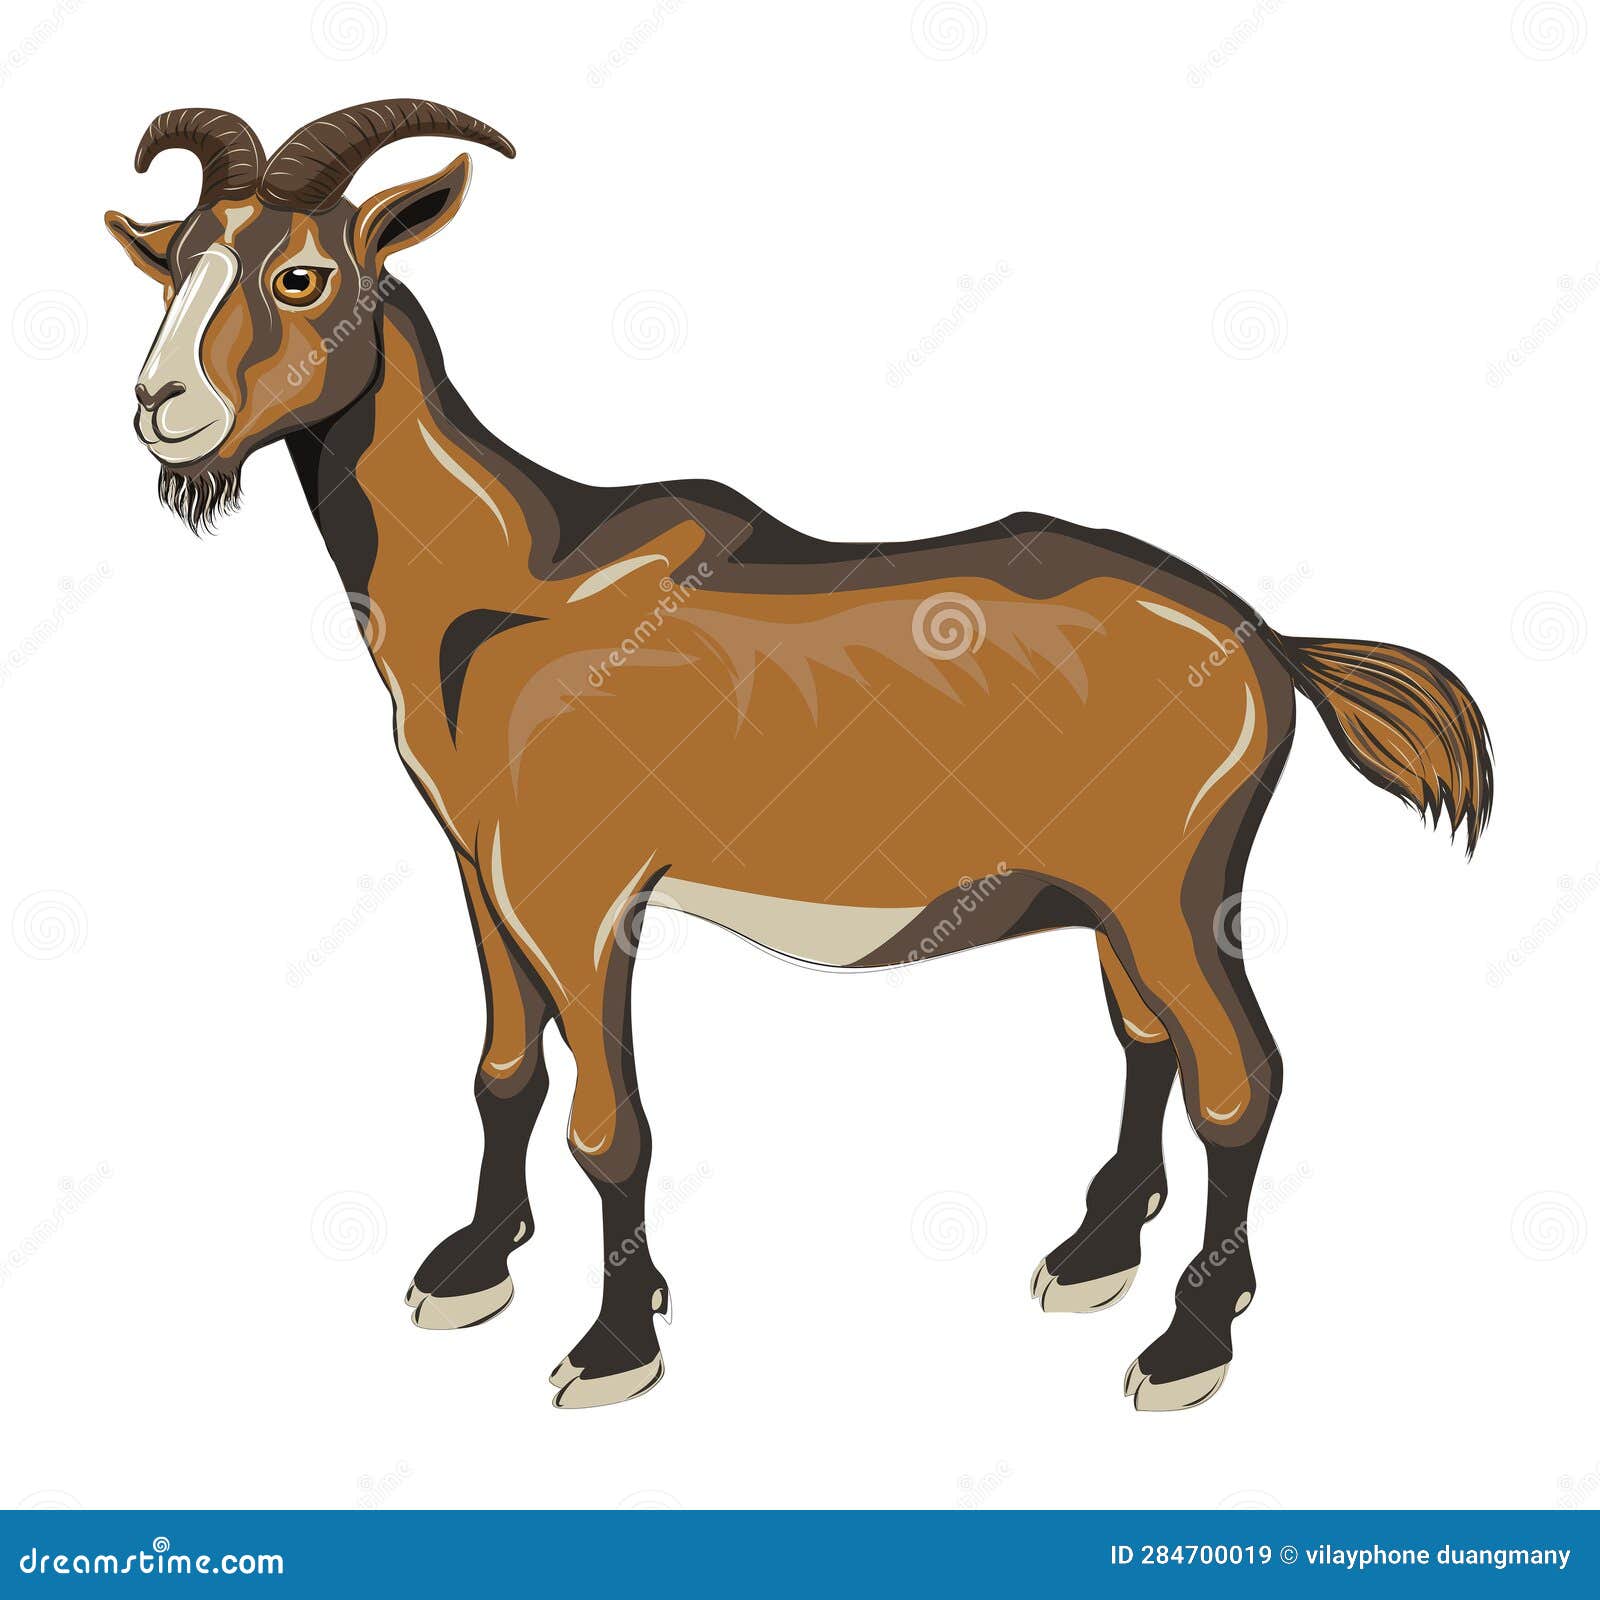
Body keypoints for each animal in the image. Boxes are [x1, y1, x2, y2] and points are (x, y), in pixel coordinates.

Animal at [108, 100, 1492, 1411]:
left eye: (303, 274)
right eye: (172, 262)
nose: (160, 409)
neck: (515, 580)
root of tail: (1268, 639)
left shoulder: (579, 891)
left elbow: (608, 1124)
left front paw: (614, 1344)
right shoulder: (482, 876)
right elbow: (506, 1071)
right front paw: (469, 1268)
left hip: (1176, 888)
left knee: (1236, 1077)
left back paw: (1190, 1339)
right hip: (1114, 899)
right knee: (1146, 1039)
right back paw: (1096, 1253)